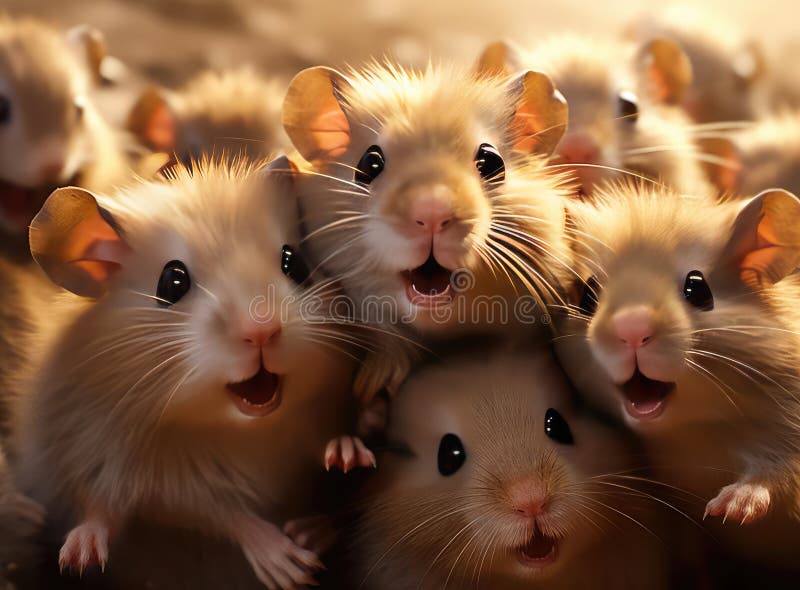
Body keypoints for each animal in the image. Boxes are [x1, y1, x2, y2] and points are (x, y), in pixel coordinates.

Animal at [12, 158, 365, 589]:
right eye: (172, 282)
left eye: (294, 263)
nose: (262, 330)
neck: (247, 431)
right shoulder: (164, 485)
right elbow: (226, 514)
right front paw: (292, 570)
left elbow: (330, 450)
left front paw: (348, 456)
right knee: (100, 512)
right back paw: (78, 554)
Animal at [555, 183, 800, 530]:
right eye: (587, 296)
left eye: (698, 290)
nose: (632, 330)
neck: (695, 427)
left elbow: (775, 472)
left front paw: (727, 509)